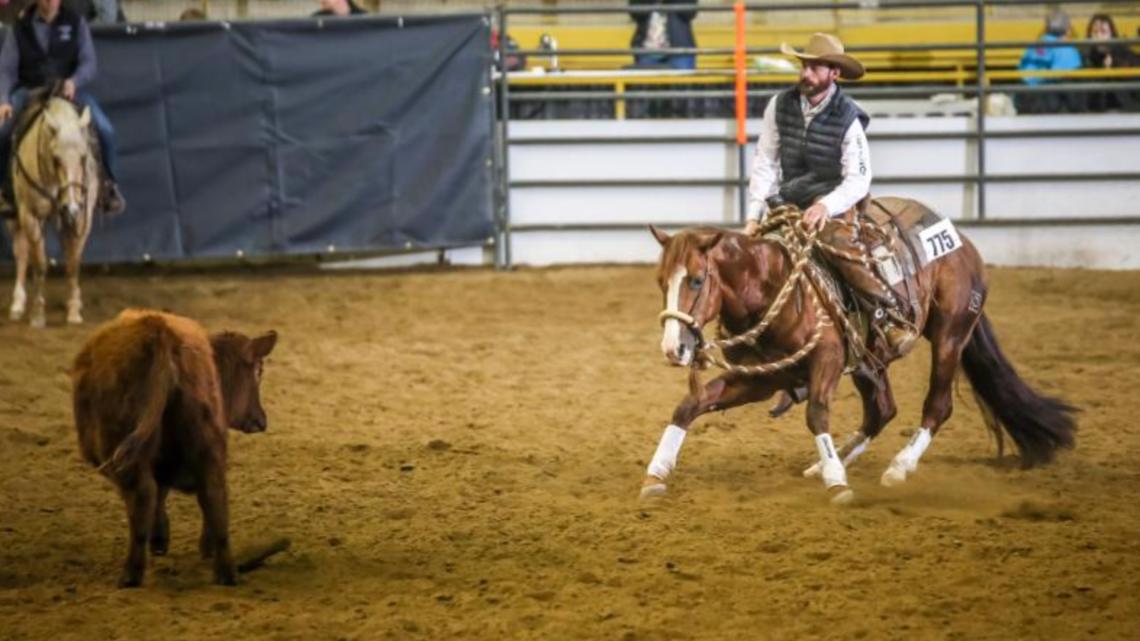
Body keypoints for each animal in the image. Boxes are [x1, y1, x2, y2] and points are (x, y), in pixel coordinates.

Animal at [5, 94, 100, 328]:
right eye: (56, 159)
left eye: (83, 157)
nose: (71, 206)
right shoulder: (30, 216)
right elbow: (40, 264)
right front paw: (38, 314)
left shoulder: (82, 219)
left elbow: (73, 264)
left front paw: (74, 311)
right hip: (17, 219)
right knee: (21, 253)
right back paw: (18, 304)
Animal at [641, 198, 1076, 504]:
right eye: (661, 281)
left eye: (697, 280)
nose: (673, 348)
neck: (775, 288)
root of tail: (963, 245)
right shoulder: (762, 378)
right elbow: (690, 404)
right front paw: (656, 472)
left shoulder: (829, 360)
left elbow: (817, 414)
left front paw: (838, 485)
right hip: (870, 359)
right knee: (882, 410)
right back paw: (824, 463)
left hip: (951, 335)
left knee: (936, 406)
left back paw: (897, 467)